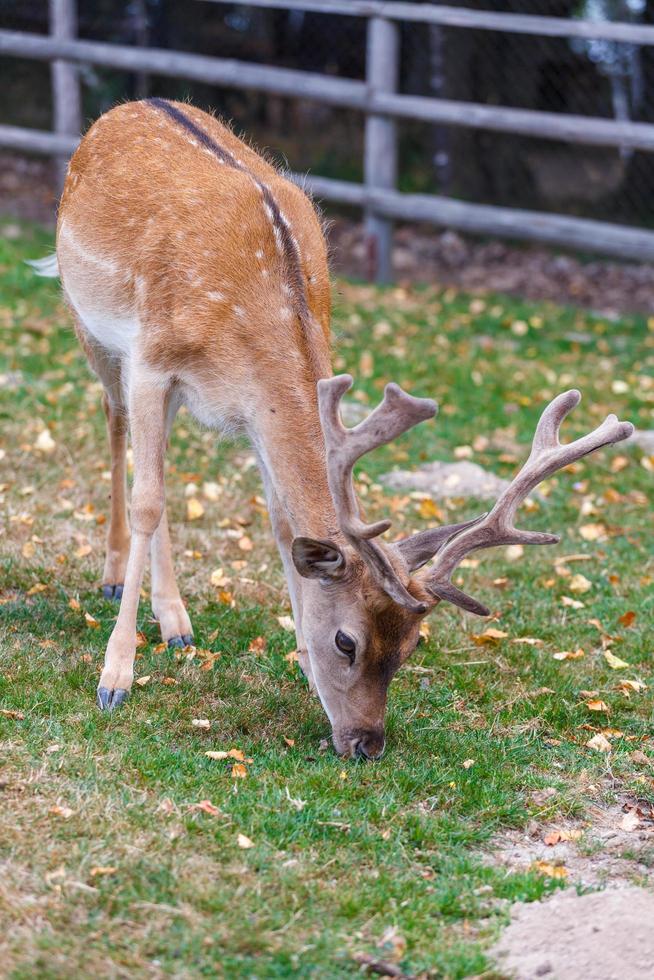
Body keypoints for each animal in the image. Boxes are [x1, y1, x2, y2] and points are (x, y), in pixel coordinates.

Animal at [43, 98, 633, 759]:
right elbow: (148, 500)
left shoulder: (252, 413)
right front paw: (114, 679)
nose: (366, 744)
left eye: (411, 647)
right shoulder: (150, 361)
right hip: (90, 324)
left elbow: (281, 526)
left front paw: (298, 657)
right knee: (117, 427)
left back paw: (176, 624)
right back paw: (114, 581)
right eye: (347, 642)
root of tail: (127, 107)